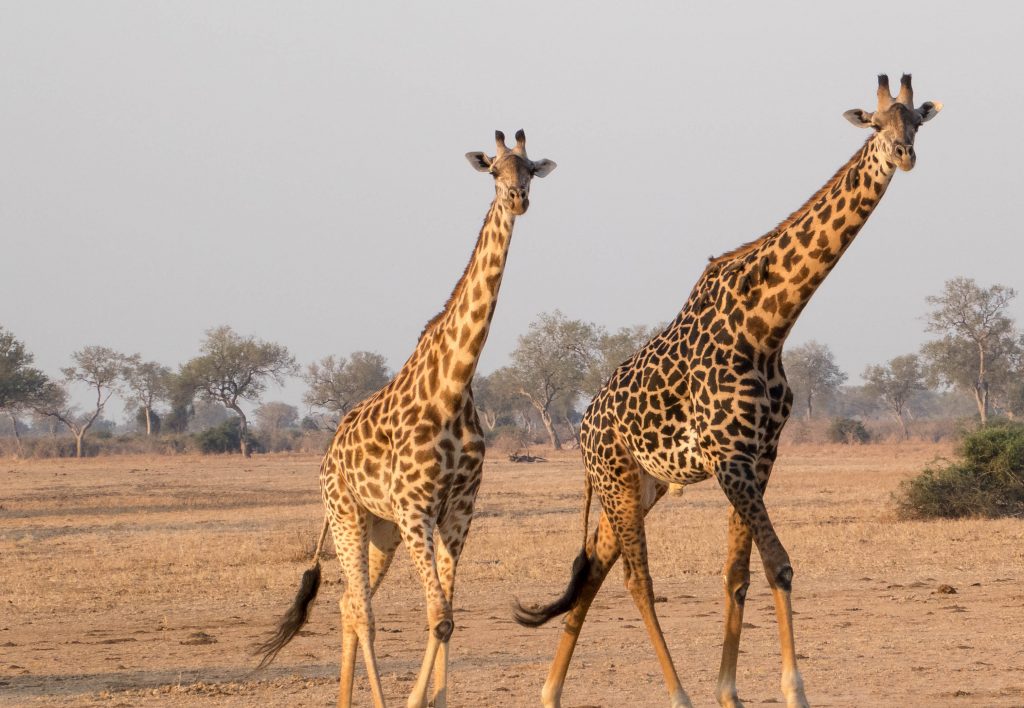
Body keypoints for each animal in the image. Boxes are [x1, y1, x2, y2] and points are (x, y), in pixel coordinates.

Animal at [256, 130, 556, 708]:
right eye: (494, 172)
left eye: (530, 168)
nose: (518, 199)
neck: (453, 385)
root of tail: (327, 458)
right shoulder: (417, 508)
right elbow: (438, 614)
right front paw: (417, 701)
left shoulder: (457, 510)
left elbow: (447, 617)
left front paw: (435, 698)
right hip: (348, 516)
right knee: (361, 609)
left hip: (382, 530)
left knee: (348, 604)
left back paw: (346, 700)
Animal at [514, 75, 941, 708]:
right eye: (874, 124)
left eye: (915, 122)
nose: (903, 155)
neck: (767, 325)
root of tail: (584, 426)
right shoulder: (729, 458)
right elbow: (779, 565)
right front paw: (793, 691)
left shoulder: (760, 455)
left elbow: (739, 573)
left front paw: (731, 692)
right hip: (617, 479)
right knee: (636, 578)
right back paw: (676, 695)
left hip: (640, 484)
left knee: (593, 568)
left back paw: (550, 693)